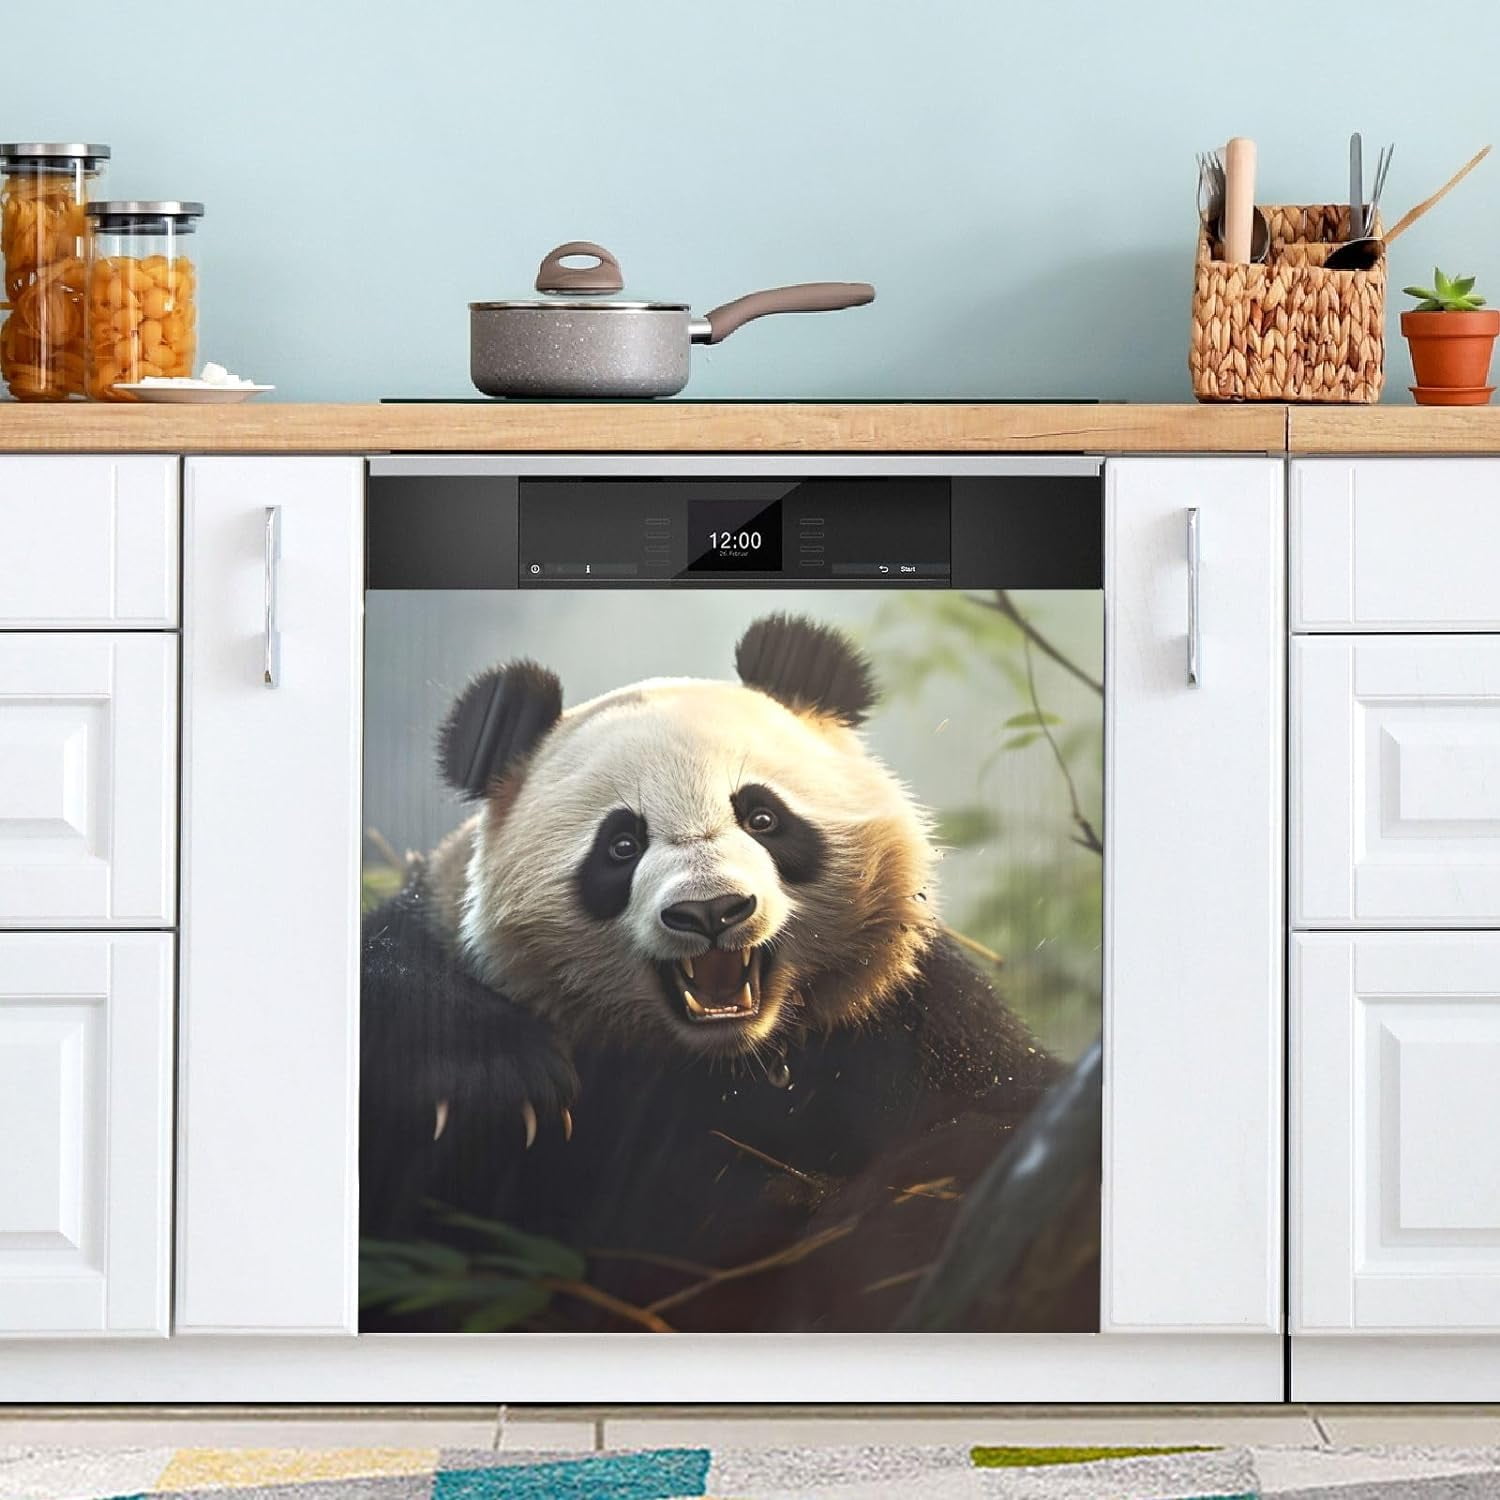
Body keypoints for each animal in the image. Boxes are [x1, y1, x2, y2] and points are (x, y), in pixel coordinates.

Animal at [360, 613, 1075, 1331]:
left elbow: (995, 1125)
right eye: (621, 845)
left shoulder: (911, 1017)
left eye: (762, 816)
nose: (710, 910)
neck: (732, 1058)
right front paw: (496, 1081)